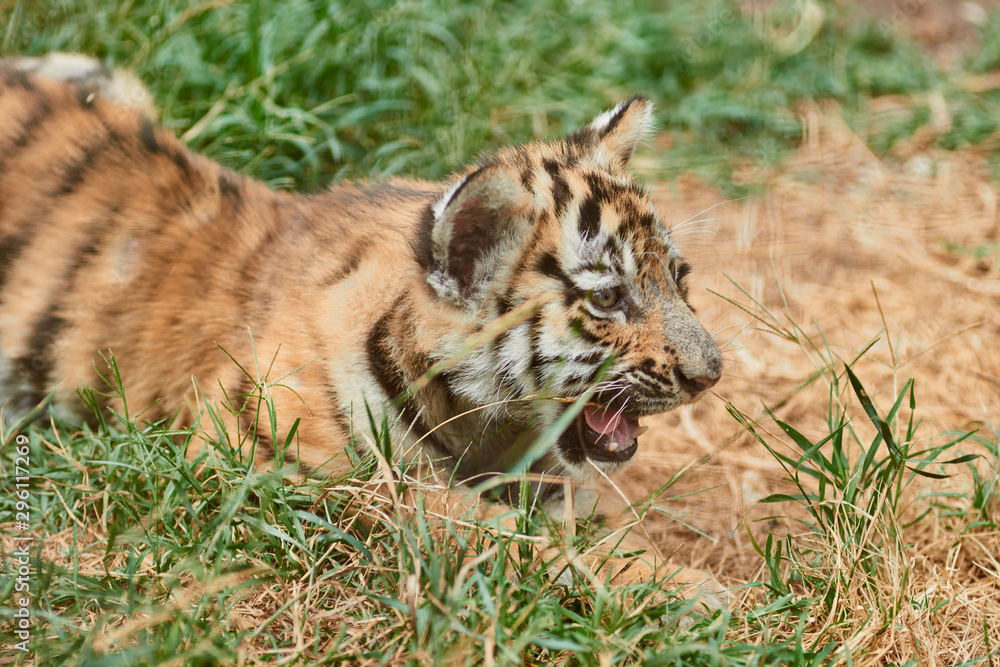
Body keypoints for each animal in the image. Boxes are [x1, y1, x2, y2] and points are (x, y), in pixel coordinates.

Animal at [0, 54, 729, 612]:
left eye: (679, 276)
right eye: (606, 299)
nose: (710, 374)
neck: (481, 423)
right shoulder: (273, 466)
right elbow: (490, 529)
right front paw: (693, 591)